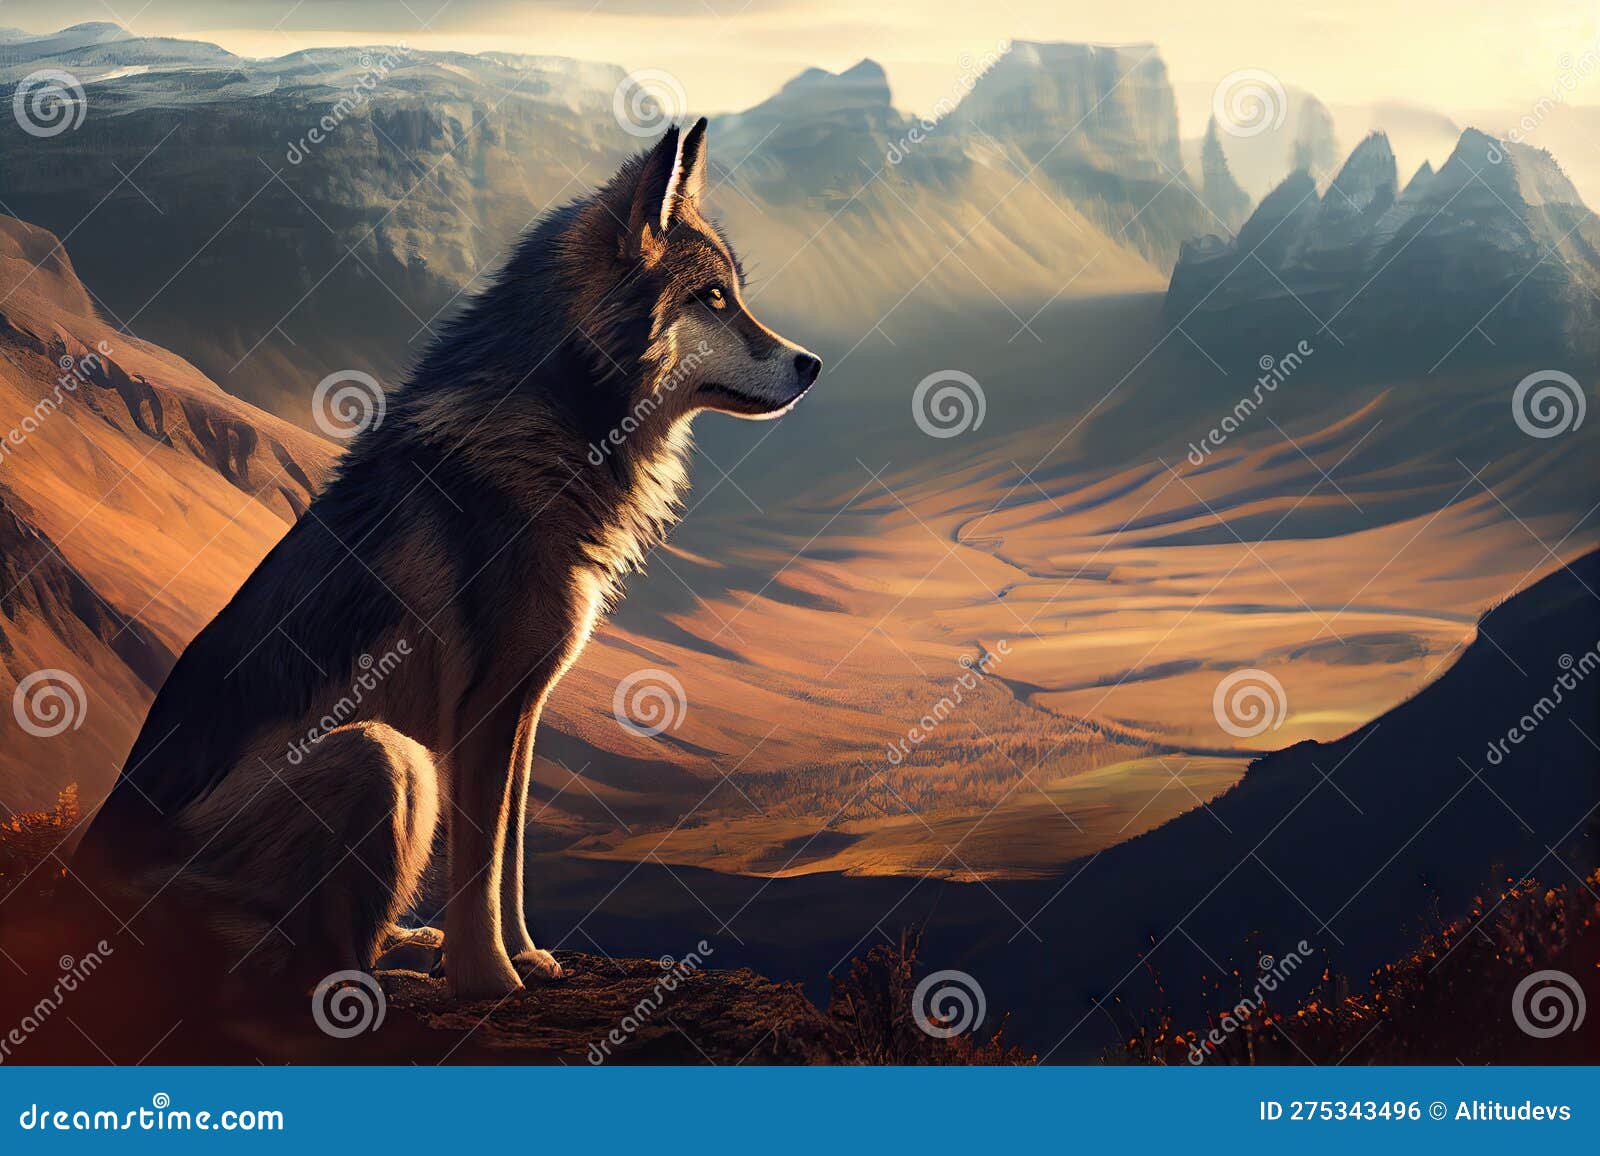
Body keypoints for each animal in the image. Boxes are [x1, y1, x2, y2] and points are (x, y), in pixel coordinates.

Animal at [73, 118, 821, 1000]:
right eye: (713, 299)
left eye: (734, 294)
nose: (811, 364)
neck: (554, 441)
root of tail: (77, 883)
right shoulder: (482, 712)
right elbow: (479, 865)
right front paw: (486, 977)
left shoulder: (523, 707)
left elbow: (511, 856)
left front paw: (526, 955)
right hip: (384, 755)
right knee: (304, 962)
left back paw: (404, 950)